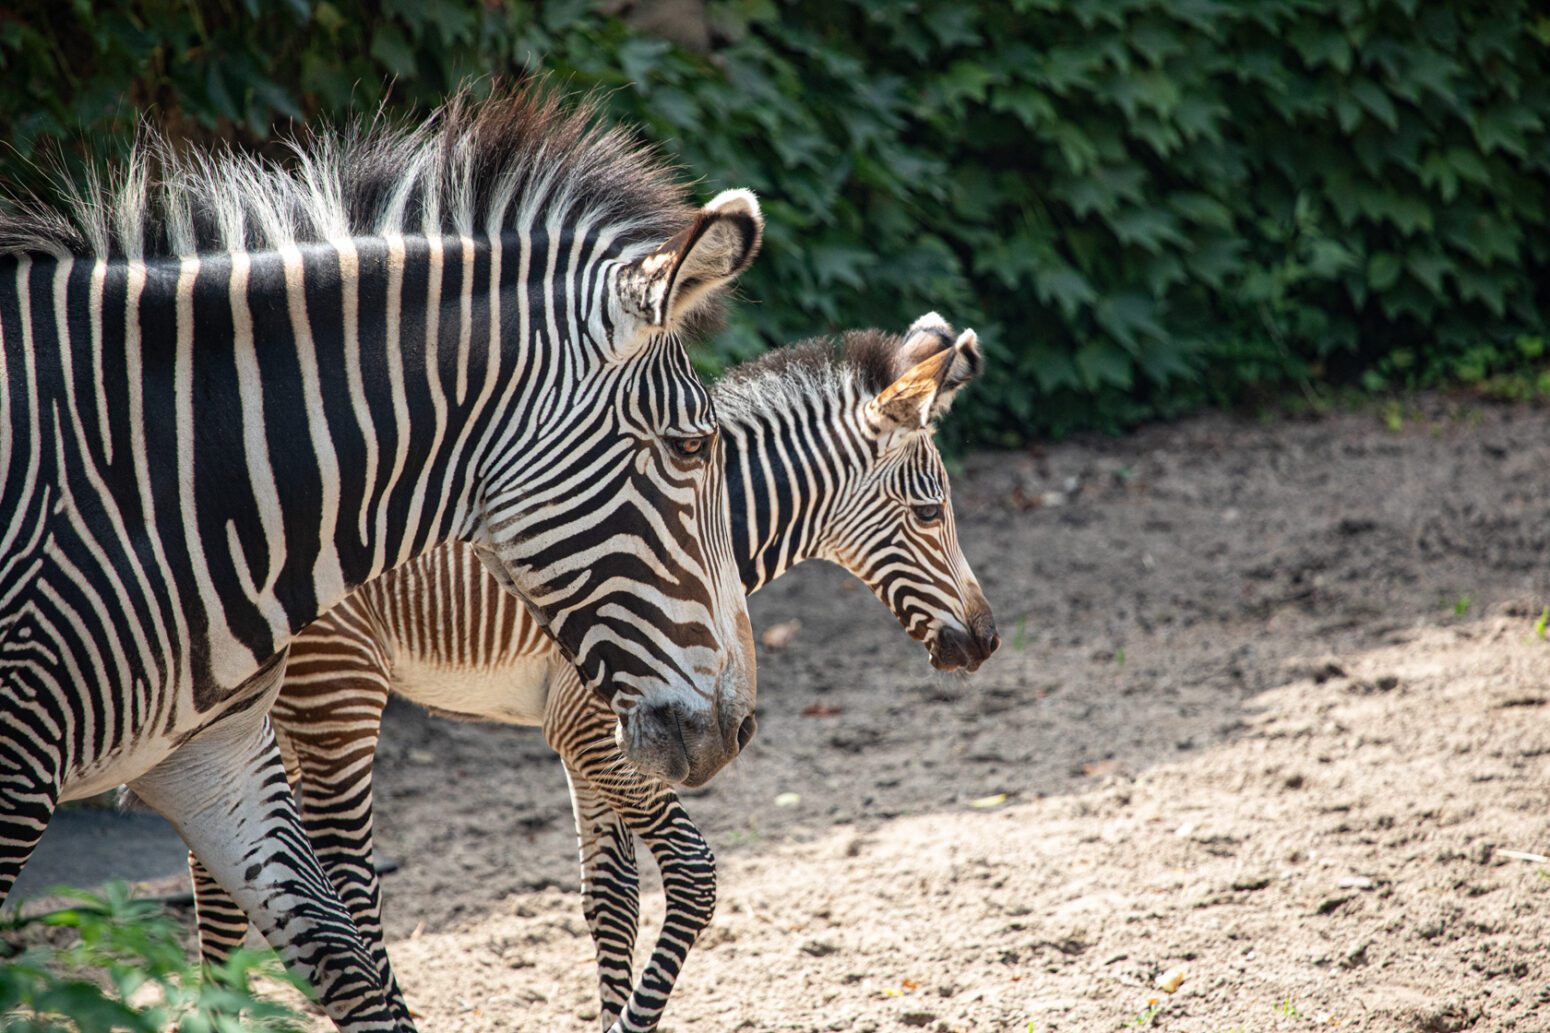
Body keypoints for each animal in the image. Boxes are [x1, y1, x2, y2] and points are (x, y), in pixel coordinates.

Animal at [189, 313, 999, 1031]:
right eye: (931, 512)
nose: (987, 640)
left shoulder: (599, 740)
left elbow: (610, 901)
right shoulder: (591, 728)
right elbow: (689, 878)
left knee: (221, 881)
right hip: (338, 686)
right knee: (346, 880)